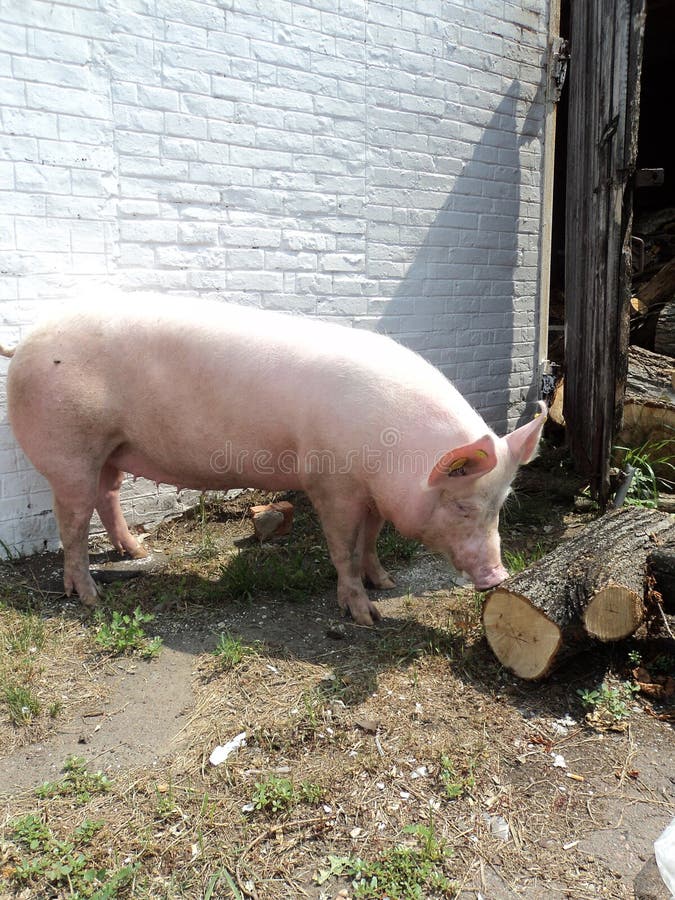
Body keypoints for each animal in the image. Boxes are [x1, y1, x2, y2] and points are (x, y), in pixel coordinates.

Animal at [2, 290, 546, 625]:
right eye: (462, 506)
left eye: (500, 506)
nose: (499, 576)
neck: (394, 455)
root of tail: (23, 342)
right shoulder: (331, 483)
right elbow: (344, 547)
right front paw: (365, 615)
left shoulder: (374, 493)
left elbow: (372, 540)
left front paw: (385, 581)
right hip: (68, 445)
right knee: (72, 518)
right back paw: (91, 596)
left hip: (112, 447)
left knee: (107, 495)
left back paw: (135, 553)